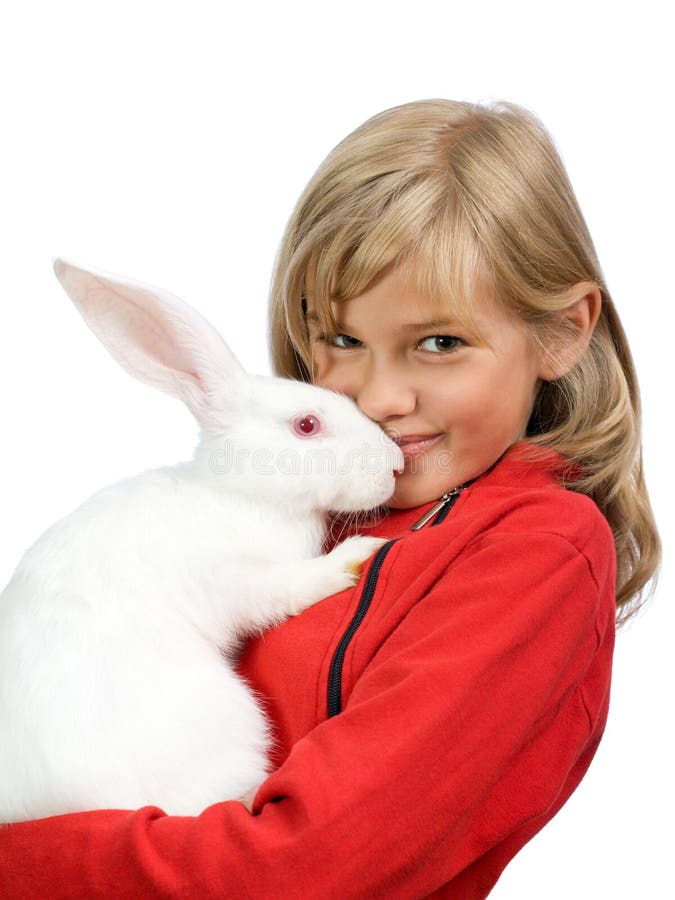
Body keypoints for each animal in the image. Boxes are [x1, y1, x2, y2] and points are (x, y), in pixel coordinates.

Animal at [0, 259, 404, 823]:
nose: (396, 464)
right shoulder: (231, 576)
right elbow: (285, 586)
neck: (239, 493)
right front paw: (354, 557)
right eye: (307, 425)